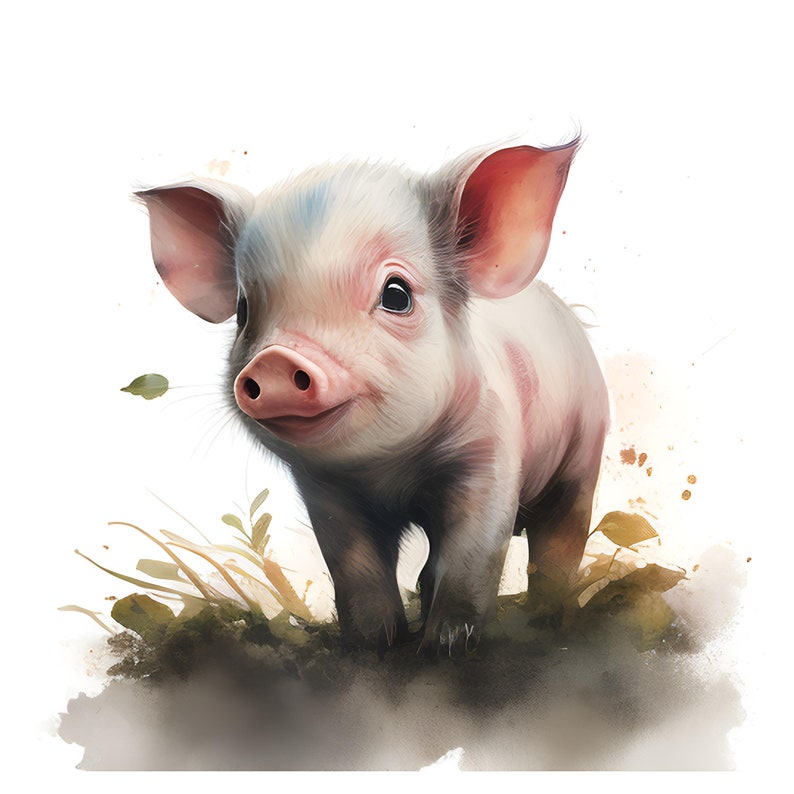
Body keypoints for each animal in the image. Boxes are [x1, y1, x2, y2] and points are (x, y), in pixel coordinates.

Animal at [136, 139, 609, 654]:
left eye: (397, 294)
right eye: (243, 312)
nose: (276, 359)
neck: (390, 471)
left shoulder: (492, 456)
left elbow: (473, 552)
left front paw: (446, 646)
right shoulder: (324, 490)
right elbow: (353, 564)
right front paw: (373, 643)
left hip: (584, 454)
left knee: (561, 535)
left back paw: (547, 618)